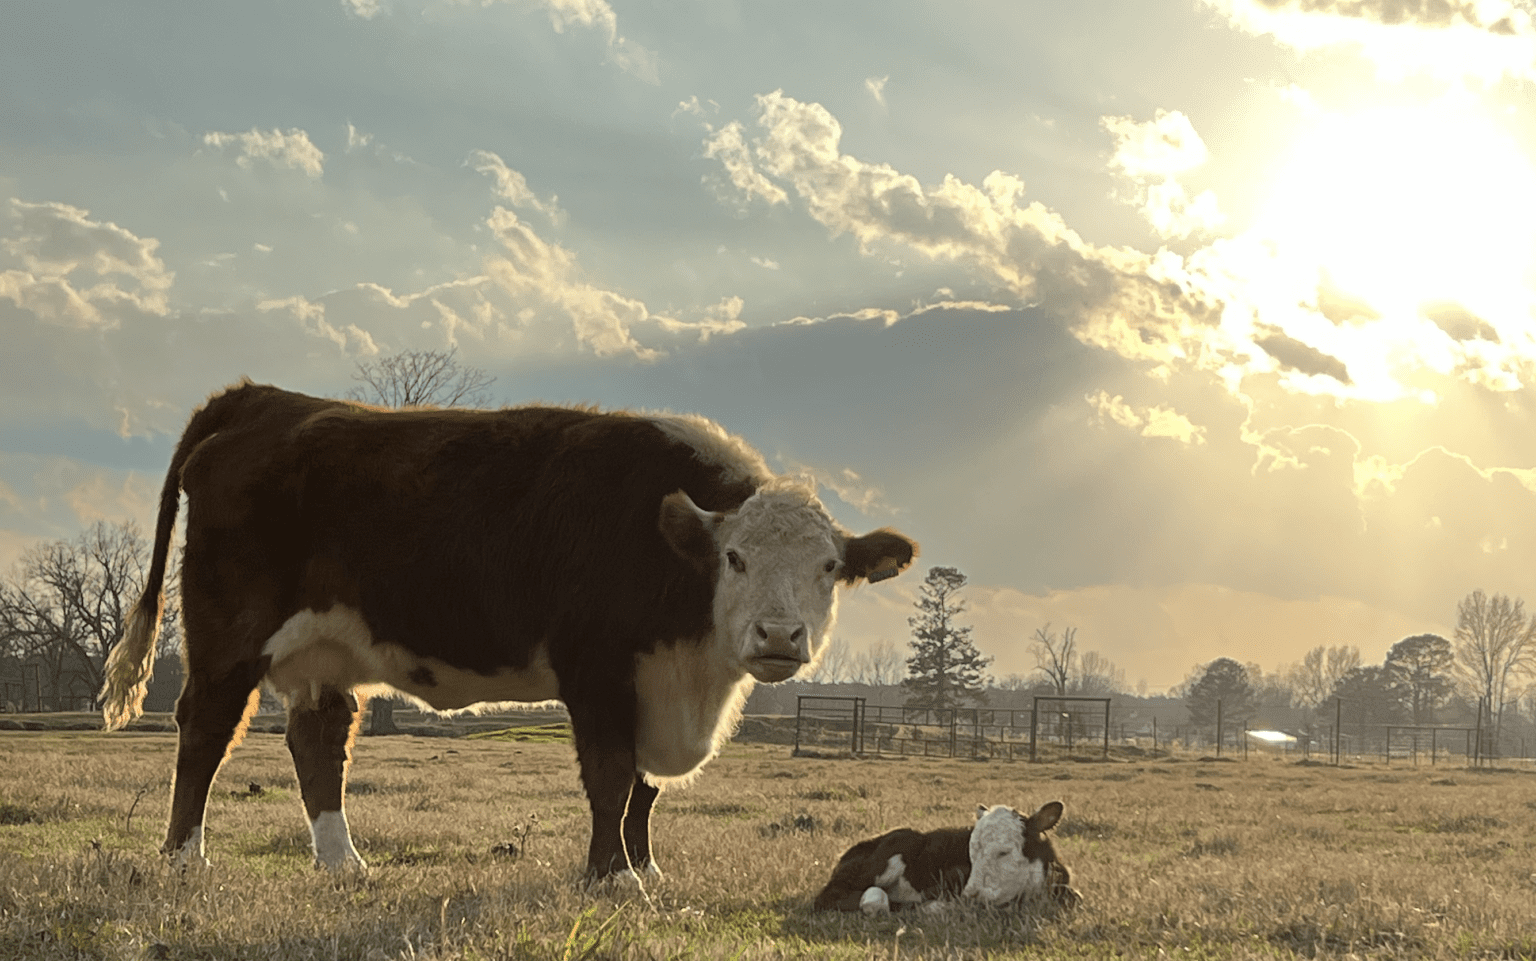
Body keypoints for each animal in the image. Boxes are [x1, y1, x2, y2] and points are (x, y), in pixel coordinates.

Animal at [99, 381, 918, 883]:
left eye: (828, 567)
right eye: (735, 558)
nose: (779, 636)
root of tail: (264, 399)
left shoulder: (656, 686)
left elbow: (647, 790)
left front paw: (646, 868)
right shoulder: (598, 669)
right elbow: (612, 777)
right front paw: (612, 878)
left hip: (323, 651)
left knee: (319, 740)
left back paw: (343, 861)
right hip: (227, 635)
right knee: (205, 729)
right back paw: (184, 859)